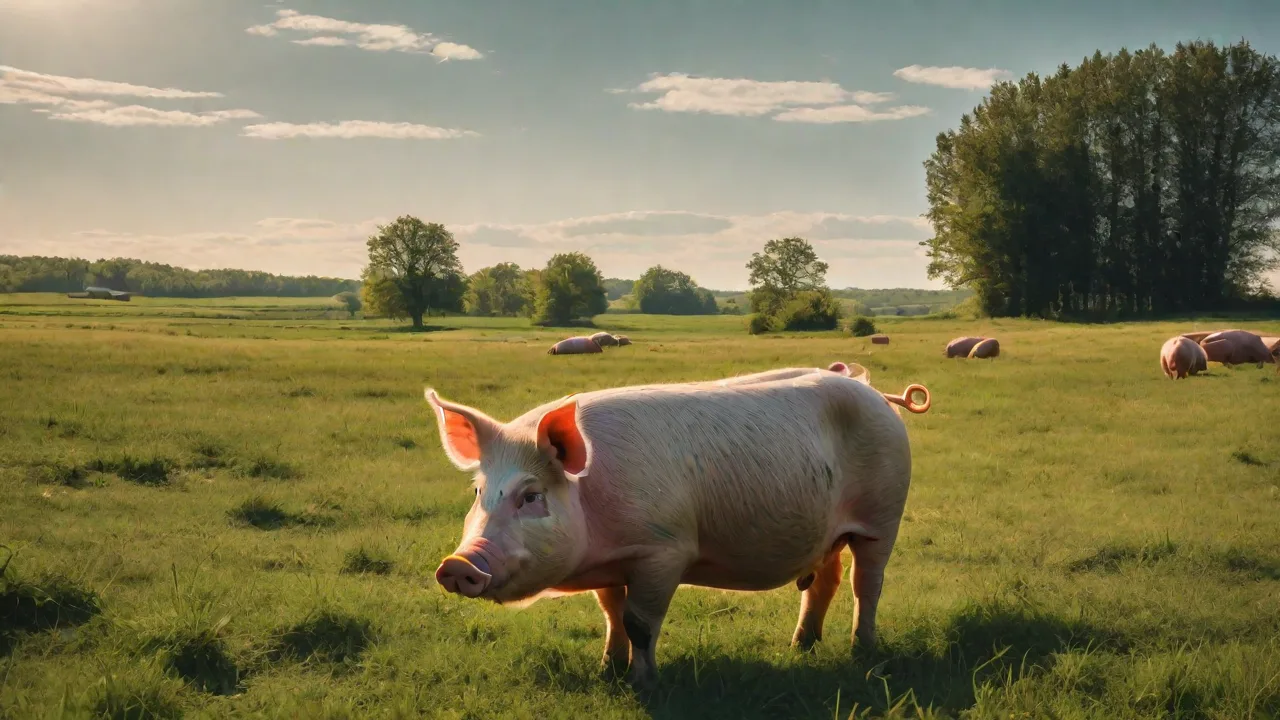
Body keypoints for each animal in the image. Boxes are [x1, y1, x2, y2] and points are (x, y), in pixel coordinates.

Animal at [427, 366, 930, 689]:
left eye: (531, 496)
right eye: (478, 492)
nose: (457, 564)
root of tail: (874, 392)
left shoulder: (663, 549)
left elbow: (639, 621)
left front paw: (643, 683)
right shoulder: (613, 562)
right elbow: (611, 613)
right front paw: (607, 670)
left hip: (883, 516)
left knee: (867, 584)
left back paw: (861, 651)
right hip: (826, 534)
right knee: (824, 582)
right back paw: (799, 648)